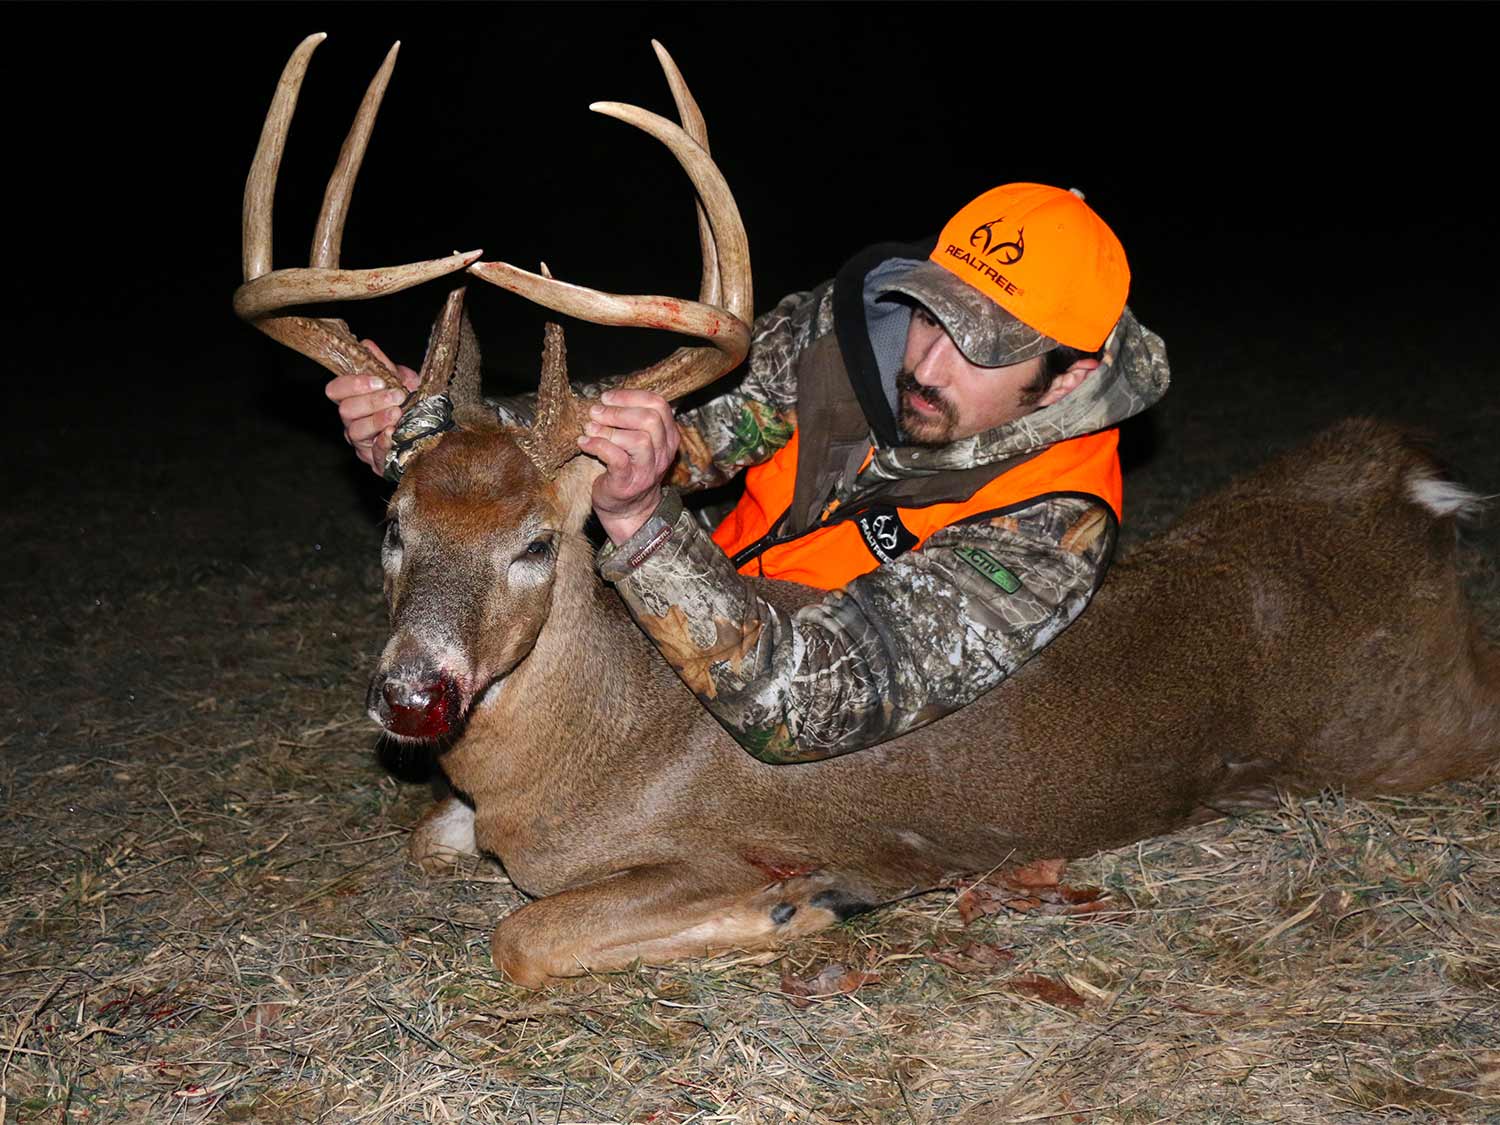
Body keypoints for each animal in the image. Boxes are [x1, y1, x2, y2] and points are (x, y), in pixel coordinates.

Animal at [235, 35, 1500, 988]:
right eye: (394, 525)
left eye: (539, 543)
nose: (413, 695)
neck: (574, 761)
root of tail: (1405, 480)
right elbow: (432, 835)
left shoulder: (702, 850)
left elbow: (525, 929)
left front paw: (800, 909)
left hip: (1416, 730)